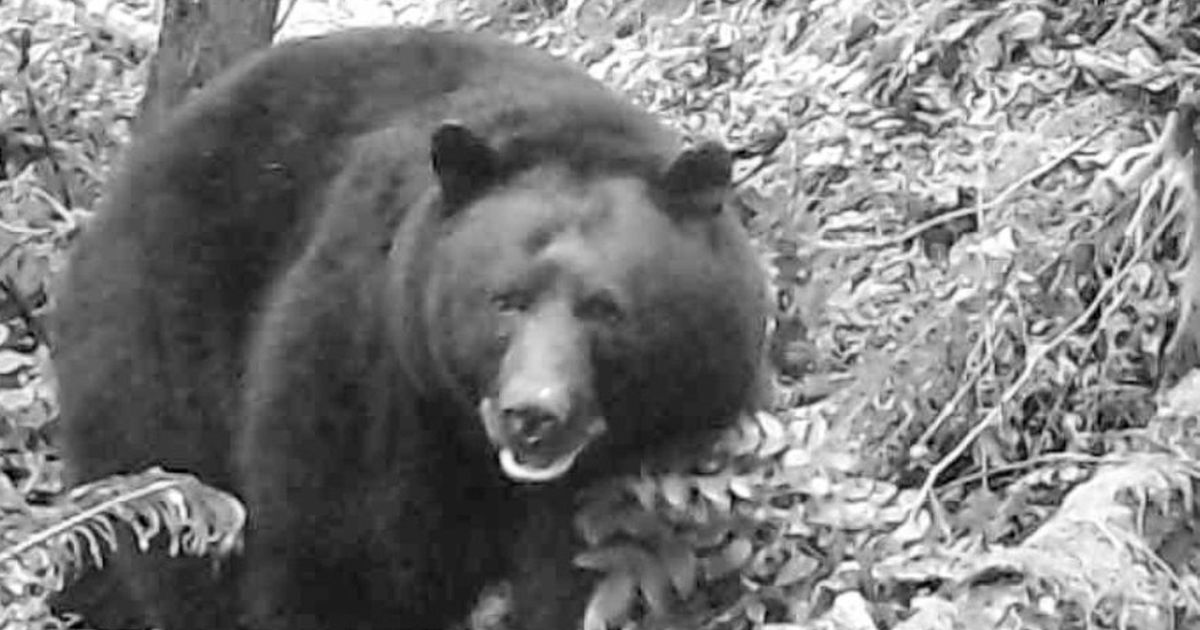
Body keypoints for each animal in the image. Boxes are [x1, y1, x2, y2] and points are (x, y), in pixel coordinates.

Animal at [52, 26, 767, 630]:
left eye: (605, 309)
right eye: (505, 301)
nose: (533, 415)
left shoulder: (659, 445)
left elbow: (585, 577)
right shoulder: (366, 373)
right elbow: (336, 556)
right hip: (161, 362)